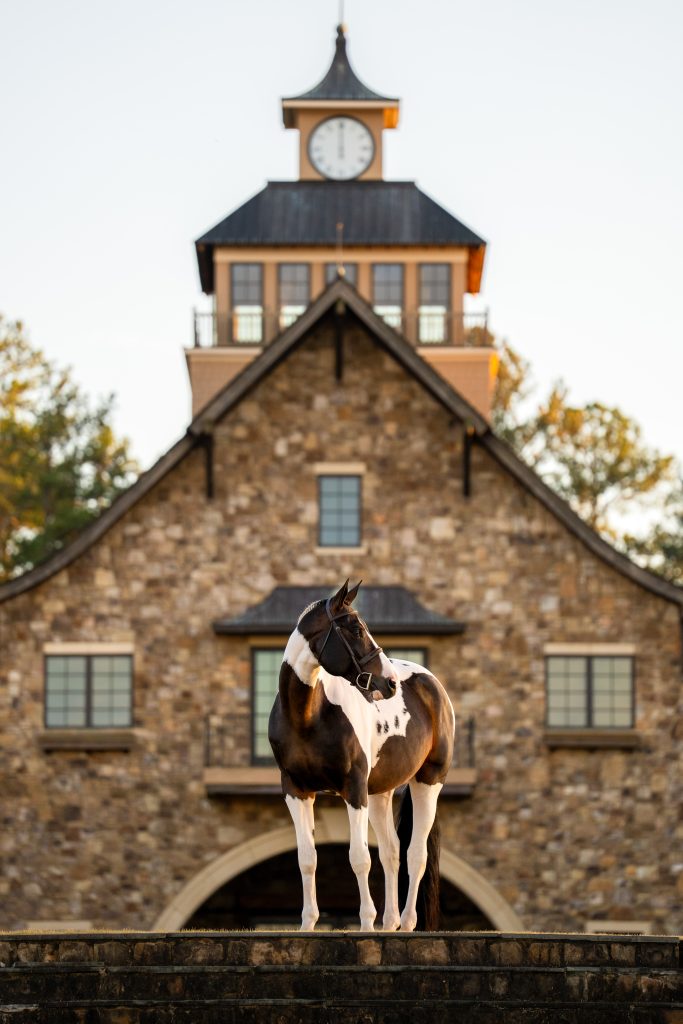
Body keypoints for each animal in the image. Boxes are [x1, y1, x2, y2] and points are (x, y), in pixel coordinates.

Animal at [268, 579, 455, 931]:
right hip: (380, 793)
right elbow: (307, 858)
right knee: (392, 852)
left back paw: (406, 922)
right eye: (355, 629)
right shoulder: (296, 790)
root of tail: (432, 683)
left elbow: (359, 858)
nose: (390, 683)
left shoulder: (353, 789)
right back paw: (390, 924)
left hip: (428, 782)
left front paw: (366, 924)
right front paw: (308, 925)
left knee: (415, 854)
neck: (307, 716)